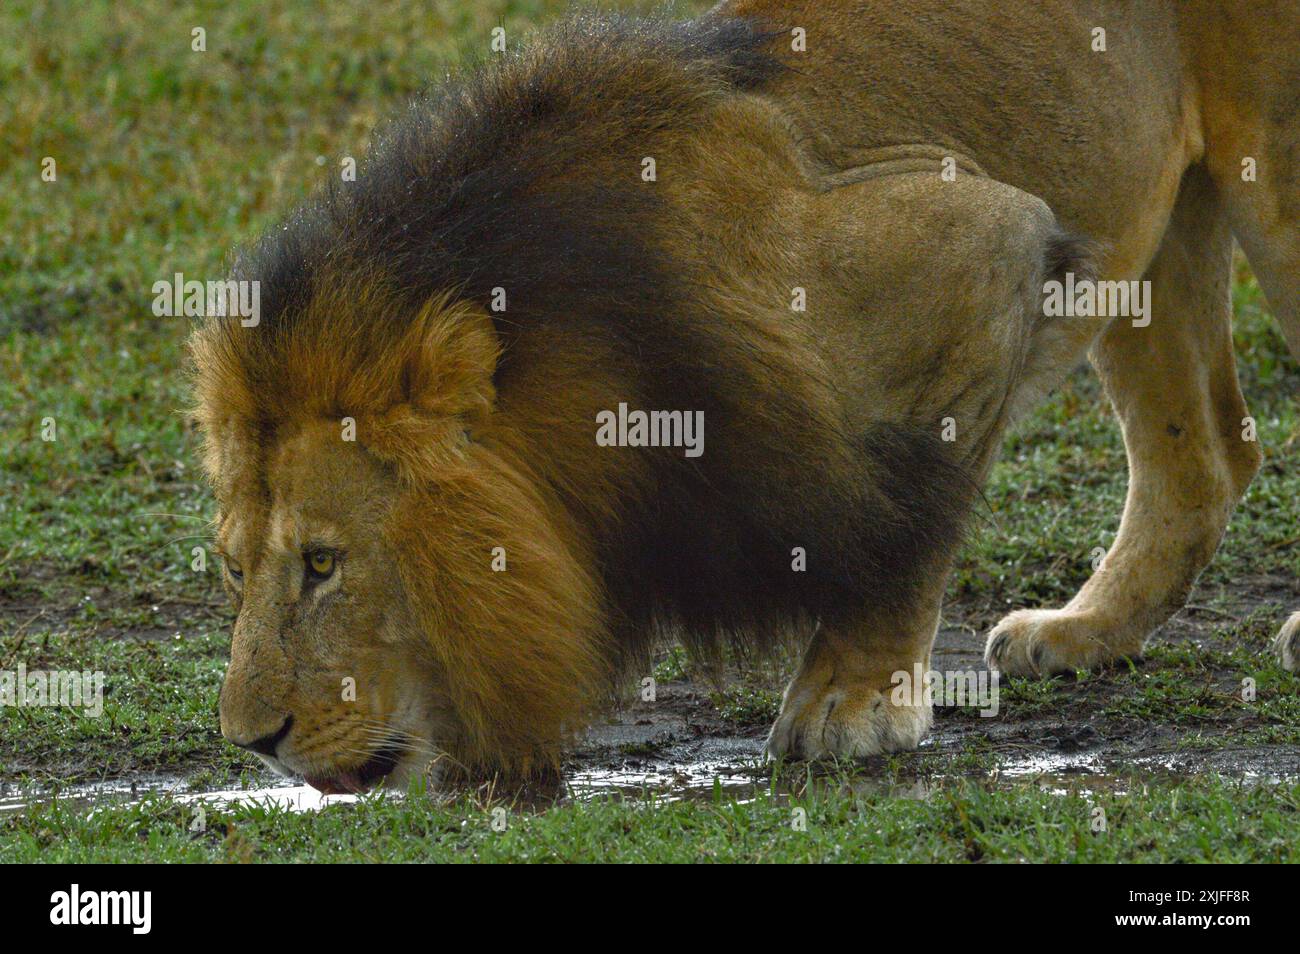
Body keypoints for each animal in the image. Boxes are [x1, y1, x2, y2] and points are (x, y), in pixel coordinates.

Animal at [190, 0, 1299, 791]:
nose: (252, 742)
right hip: (1149, 225)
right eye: (234, 570)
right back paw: (1086, 631)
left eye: (323, 564)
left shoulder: (984, 238)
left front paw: (850, 703)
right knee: (1204, 455)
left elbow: (905, 525)